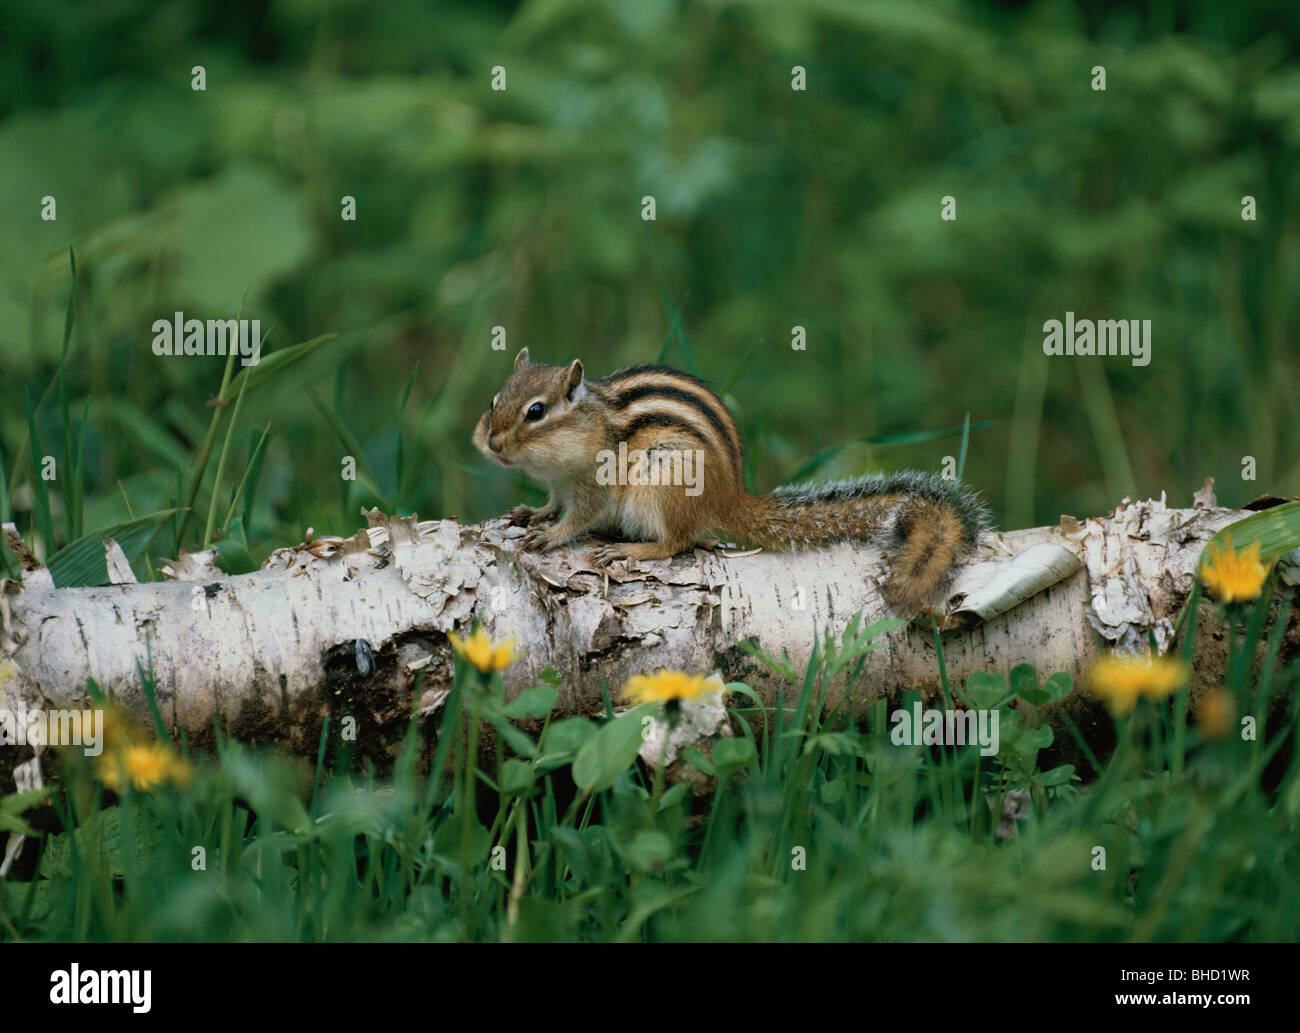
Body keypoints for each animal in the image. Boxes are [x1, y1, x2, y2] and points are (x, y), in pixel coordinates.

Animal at [473, 348, 990, 615]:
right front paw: (533, 513)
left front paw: (553, 534)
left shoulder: (595, 481)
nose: (492, 442)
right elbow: (551, 501)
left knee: (677, 541)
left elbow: (581, 516)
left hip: (663, 479)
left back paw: (634, 550)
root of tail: (730, 498)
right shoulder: (559, 482)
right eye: (494, 399)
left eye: (536, 411)